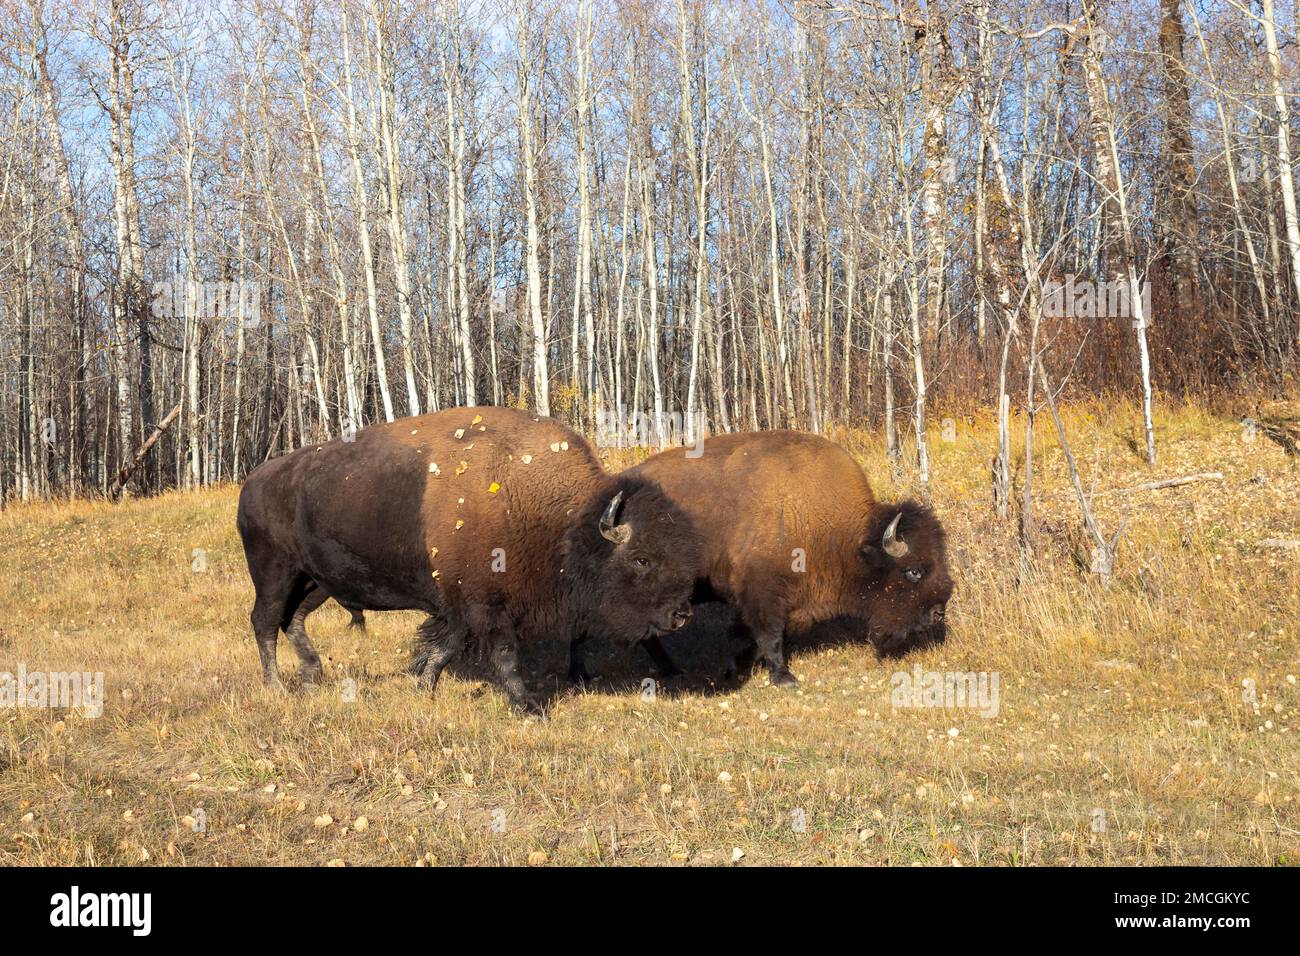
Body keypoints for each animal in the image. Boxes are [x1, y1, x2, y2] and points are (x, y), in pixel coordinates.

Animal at [237, 406, 702, 714]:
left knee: (293, 619)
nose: (681, 614)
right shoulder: (486, 605)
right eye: (641, 560)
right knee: (265, 621)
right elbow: (503, 654)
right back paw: (276, 687)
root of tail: (253, 482)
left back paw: (313, 675)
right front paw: (529, 705)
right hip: (275, 572)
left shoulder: (461, 605)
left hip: (315, 581)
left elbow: (445, 646)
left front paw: (424, 686)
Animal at [569, 430, 953, 687]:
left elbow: (759, 637)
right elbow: (769, 635)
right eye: (914, 571)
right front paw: (783, 677)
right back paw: (580, 675)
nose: (937, 613)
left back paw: (671, 669)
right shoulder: (762, 593)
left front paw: (736, 667)